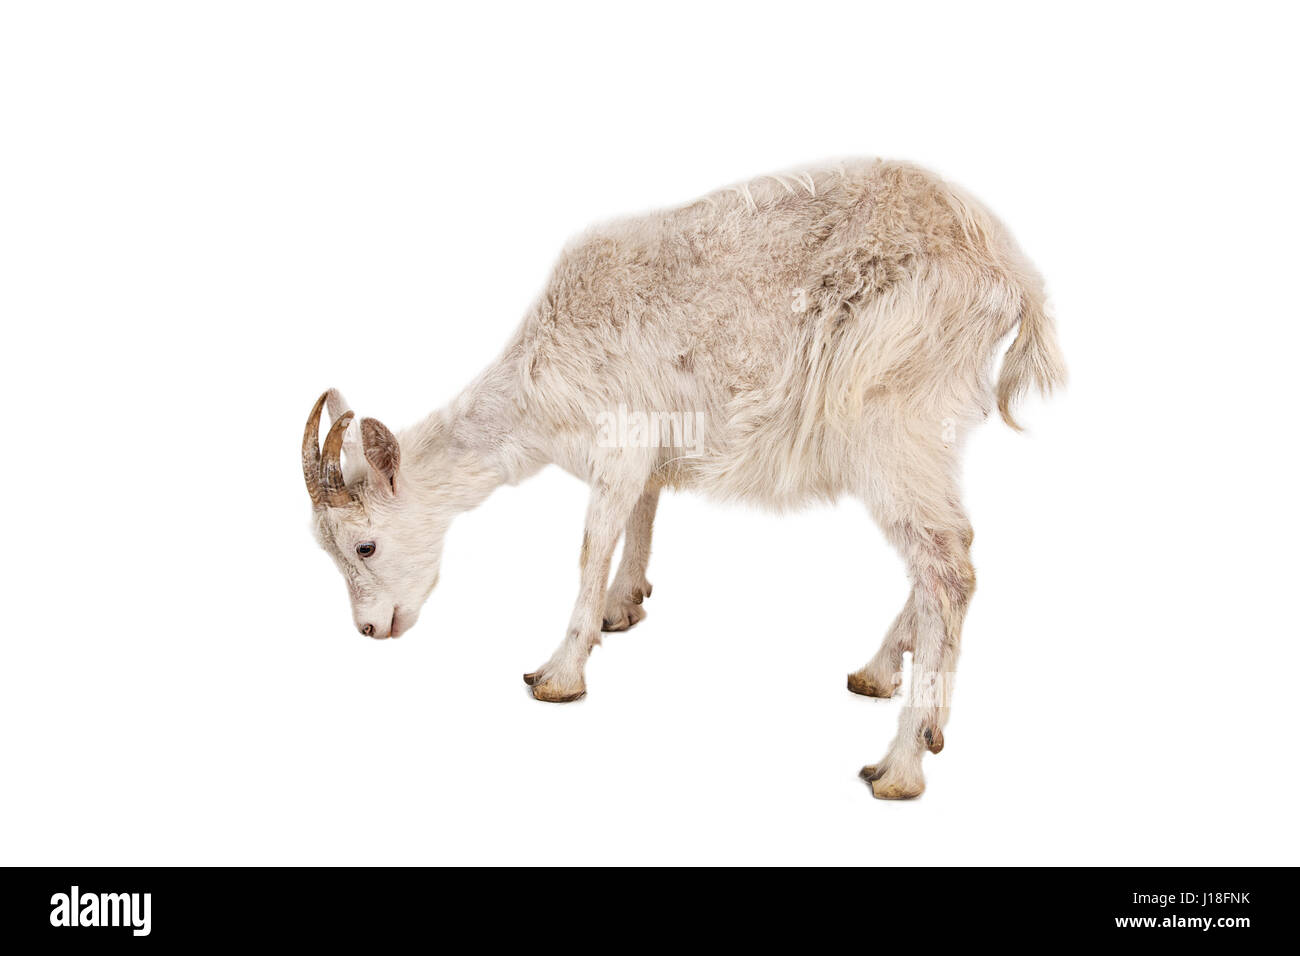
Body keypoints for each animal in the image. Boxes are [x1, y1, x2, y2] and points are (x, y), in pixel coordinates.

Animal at [301, 159, 1065, 798]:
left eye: (365, 545)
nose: (371, 629)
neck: (537, 379)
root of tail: (1012, 275)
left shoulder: (618, 441)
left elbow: (592, 544)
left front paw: (558, 674)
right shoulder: (648, 452)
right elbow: (642, 512)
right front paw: (624, 606)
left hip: (889, 412)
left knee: (946, 563)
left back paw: (901, 763)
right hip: (927, 431)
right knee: (950, 552)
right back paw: (879, 674)